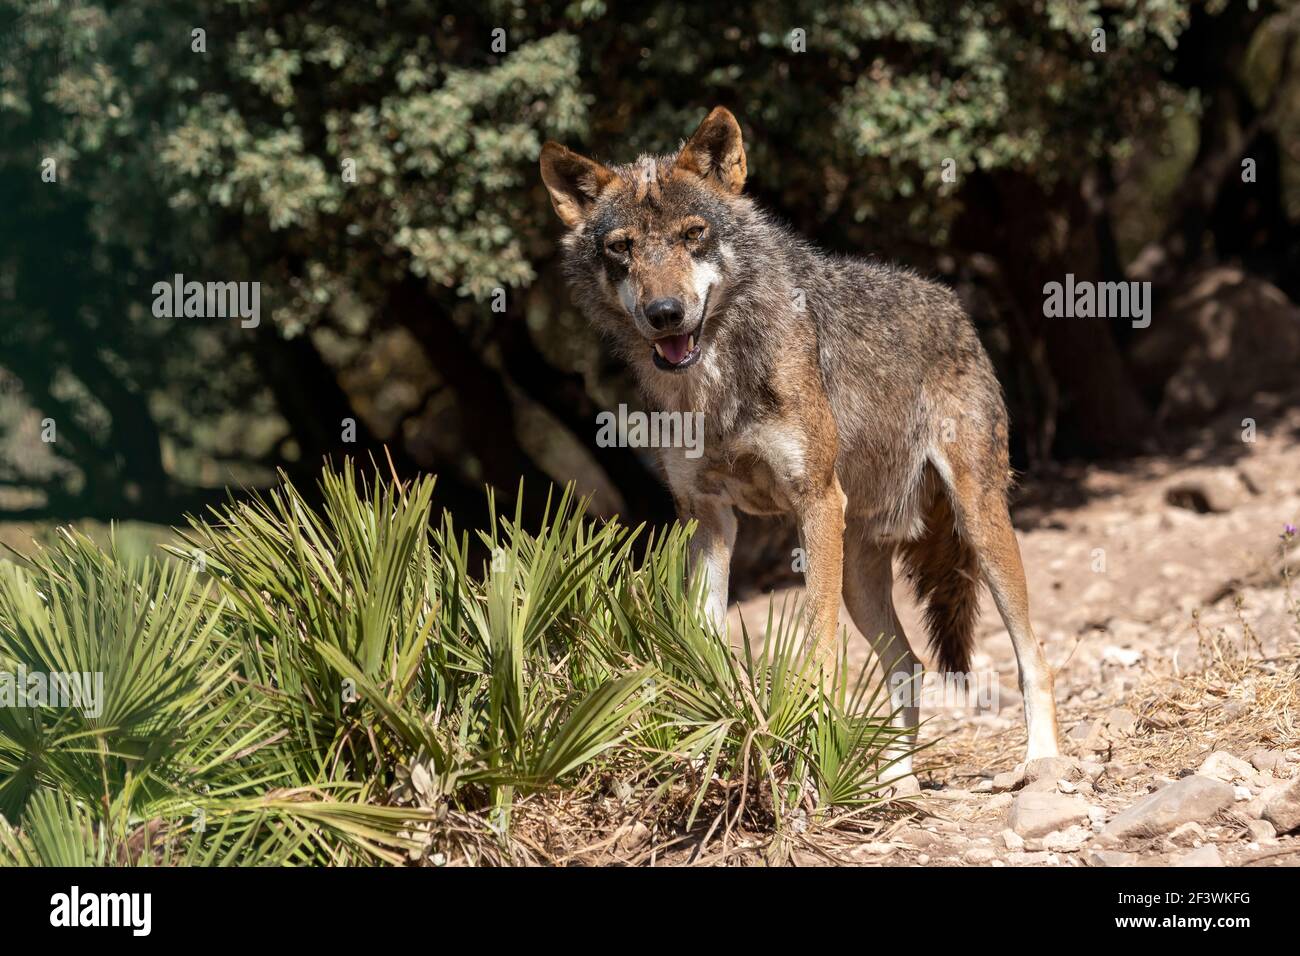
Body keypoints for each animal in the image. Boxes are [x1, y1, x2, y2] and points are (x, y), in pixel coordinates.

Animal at [540, 107, 1060, 776]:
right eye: (621, 248)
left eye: (693, 234)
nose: (665, 312)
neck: (718, 379)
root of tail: (953, 304)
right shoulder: (707, 518)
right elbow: (702, 632)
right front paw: (709, 715)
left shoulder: (814, 500)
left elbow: (817, 647)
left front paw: (804, 732)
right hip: (859, 573)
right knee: (908, 664)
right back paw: (898, 781)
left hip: (975, 524)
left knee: (1033, 656)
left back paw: (1041, 761)